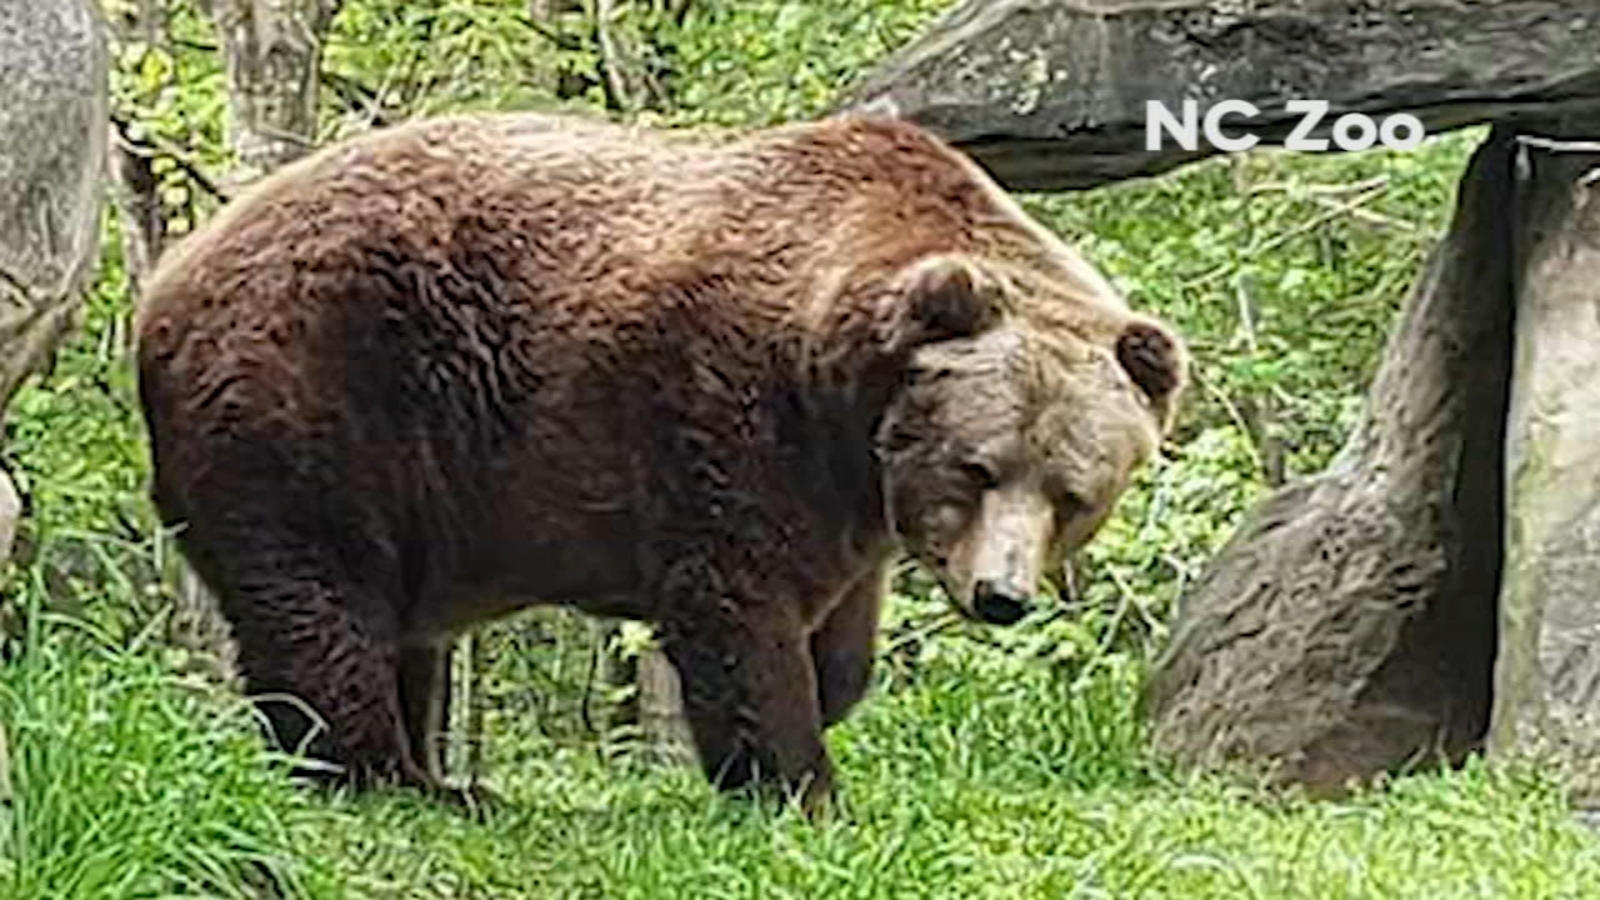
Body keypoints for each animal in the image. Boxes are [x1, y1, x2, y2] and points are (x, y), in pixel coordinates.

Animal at [133, 110, 1186, 816]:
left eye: (1073, 494)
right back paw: (395, 776)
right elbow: (738, 601)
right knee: (323, 594)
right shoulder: (725, 409)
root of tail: (166, 279)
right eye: (977, 468)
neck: (842, 384)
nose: (1000, 595)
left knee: (395, 623)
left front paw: (831, 692)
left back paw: (433, 768)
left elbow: (842, 626)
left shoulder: (850, 493)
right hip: (317, 389)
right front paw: (799, 783)